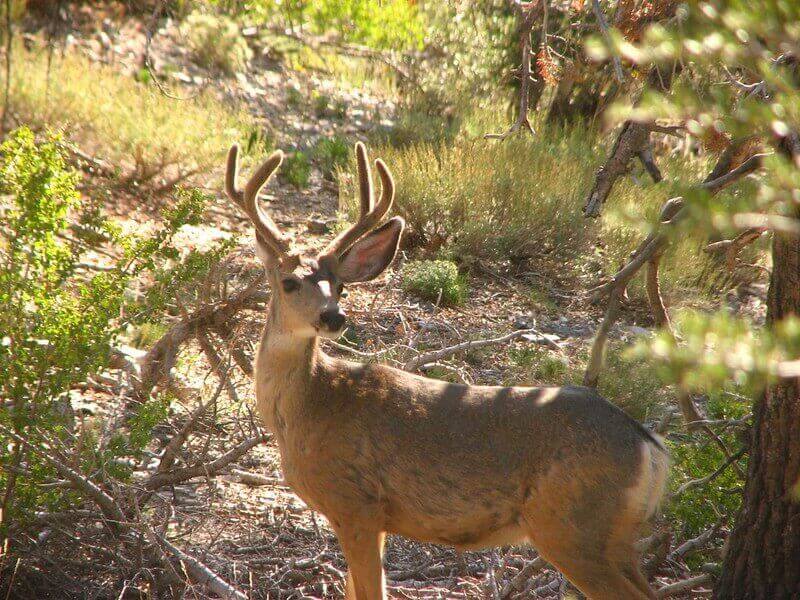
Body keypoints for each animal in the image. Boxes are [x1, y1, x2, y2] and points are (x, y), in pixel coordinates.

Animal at [224, 141, 669, 600]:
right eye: (290, 282)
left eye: (341, 287)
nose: (334, 316)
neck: (311, 407)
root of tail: (650, 448)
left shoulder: (358, 504)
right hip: (611, 536)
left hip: (571, 525)